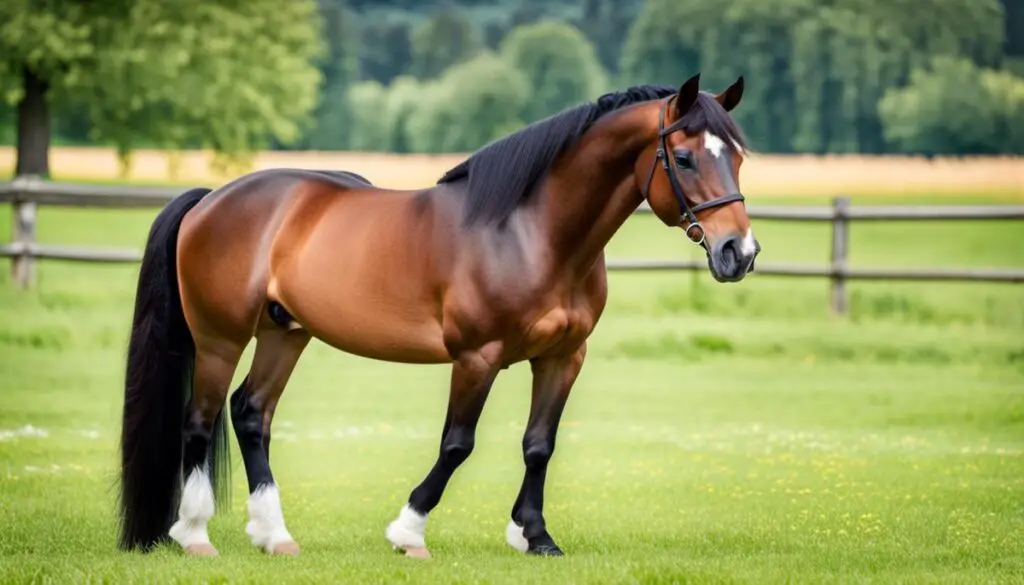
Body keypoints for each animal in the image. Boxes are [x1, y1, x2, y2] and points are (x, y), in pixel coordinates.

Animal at [116, 73, 759, 559]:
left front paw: (535, 536)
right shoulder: (476, 357)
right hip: (219, 338)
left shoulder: (563, 357)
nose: (739, 252)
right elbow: (457, 444)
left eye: (738, 157)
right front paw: (408, 531)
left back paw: (275, 536)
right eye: (682, 157)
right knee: (199, 422)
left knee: (251, 414)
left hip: (285, 333)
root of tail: (212, 199)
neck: (530, 233)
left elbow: (538, 445)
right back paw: (194, 535)